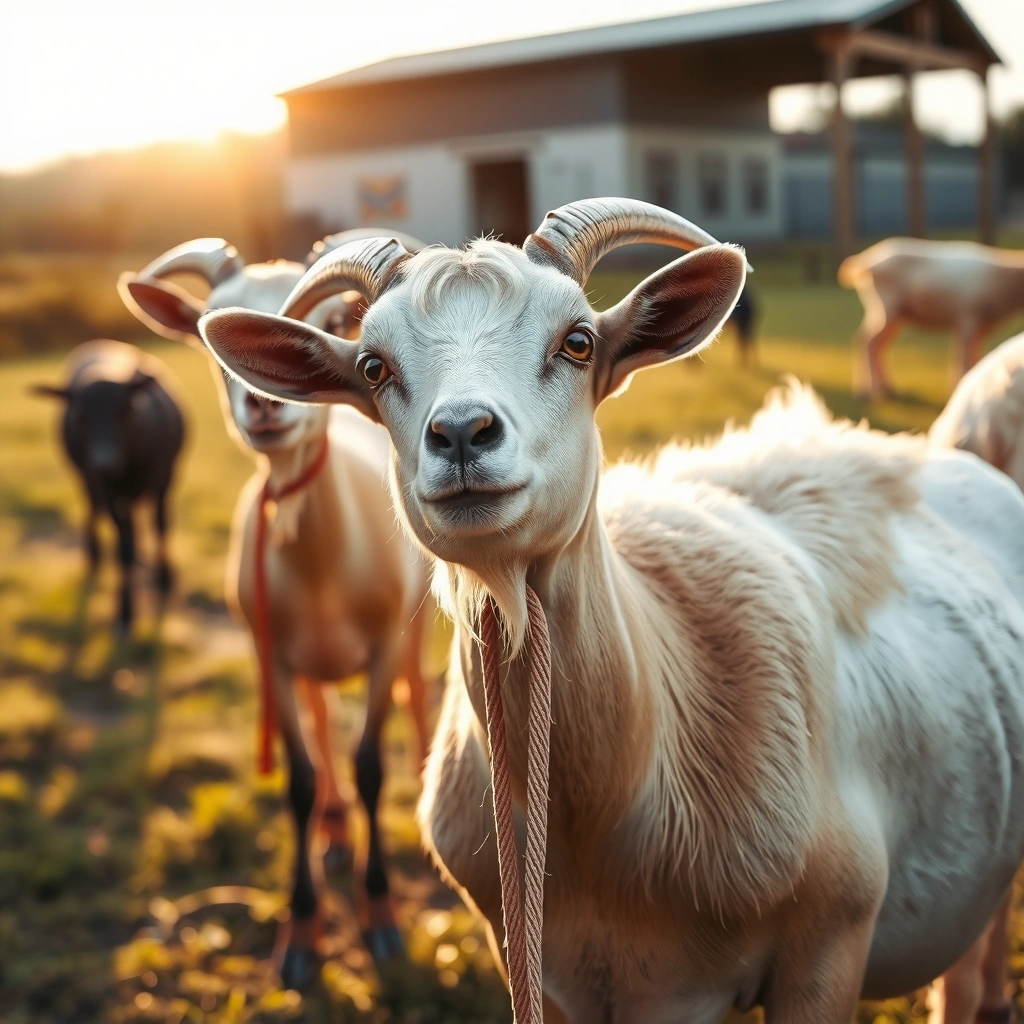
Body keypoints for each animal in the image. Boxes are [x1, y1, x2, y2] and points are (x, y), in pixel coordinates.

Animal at [32, 339, 184, 635]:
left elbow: (161, 525)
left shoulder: (164, 478)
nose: (105, 463)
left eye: (125, 410)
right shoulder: (106, 489)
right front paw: (124, 612)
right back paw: (94, 553)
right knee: (94, 508)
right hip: (86, 478)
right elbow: (124, 549)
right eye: (81, 416)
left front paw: (164, 576)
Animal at [119, 234, 432, 985]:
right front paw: (302, 933)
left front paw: (381, 918)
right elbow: (299, 779)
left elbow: (371, 764)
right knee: (321, 724)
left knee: (415, 689)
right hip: (307, 660)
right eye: (211, 336)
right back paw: (335, 829)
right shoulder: (271, 657)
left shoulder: (383, 644)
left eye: (333, 325)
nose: (264, 405)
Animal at [838, 237, 1024, 400]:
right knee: (867, 341)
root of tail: (865, 261)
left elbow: (975, 358)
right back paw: (869, 391)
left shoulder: (979, 327)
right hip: (885, 306)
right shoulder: (967, 319)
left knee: (874, 343)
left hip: (894, 314)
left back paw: (885, 388)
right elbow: (963, 359)